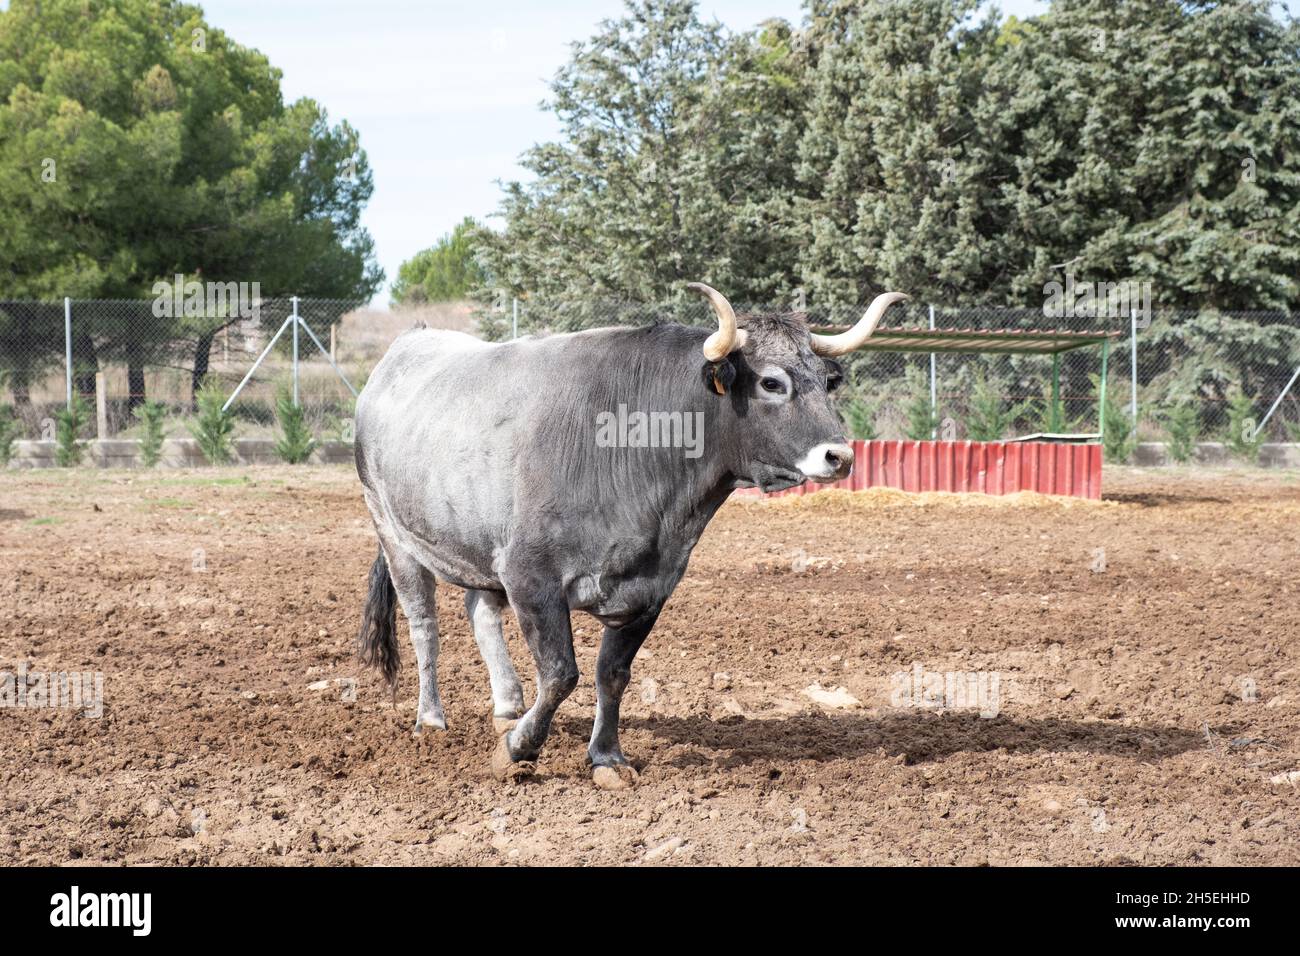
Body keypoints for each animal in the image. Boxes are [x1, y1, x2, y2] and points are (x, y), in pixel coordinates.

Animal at [353, 282, 907, 788]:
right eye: (772, 383)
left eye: (825, 381)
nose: (840, 456)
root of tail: (404, 349)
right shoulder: (531, 576)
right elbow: (561, 673)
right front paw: (517, 751)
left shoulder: (648, 589)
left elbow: (611, 675)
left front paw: (606, 757)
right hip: (394, 535)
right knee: (424, 626)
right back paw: (432, 719)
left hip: (479, 549)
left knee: (482, 613)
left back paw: (507, 707)